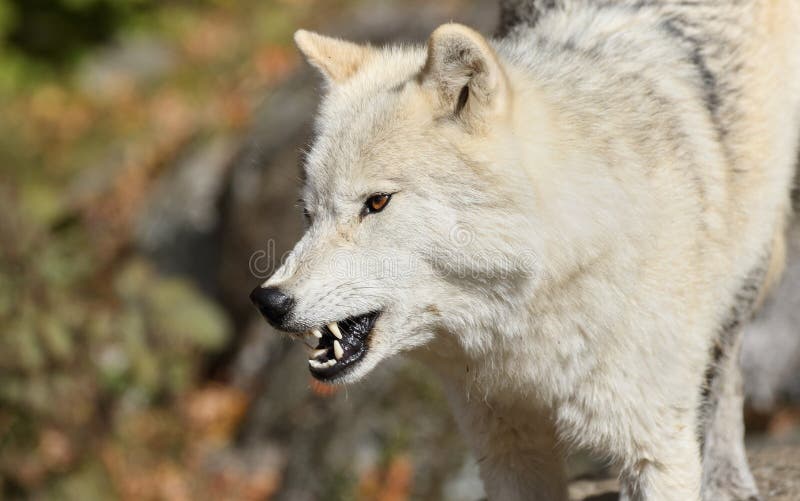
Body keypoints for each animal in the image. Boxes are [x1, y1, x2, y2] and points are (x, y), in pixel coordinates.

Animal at [250, 1, 800, 499]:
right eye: (308, 214)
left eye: (377, 202)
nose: (268, 301)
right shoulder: (506, 446)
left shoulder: (654, 446)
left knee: (725, 372)